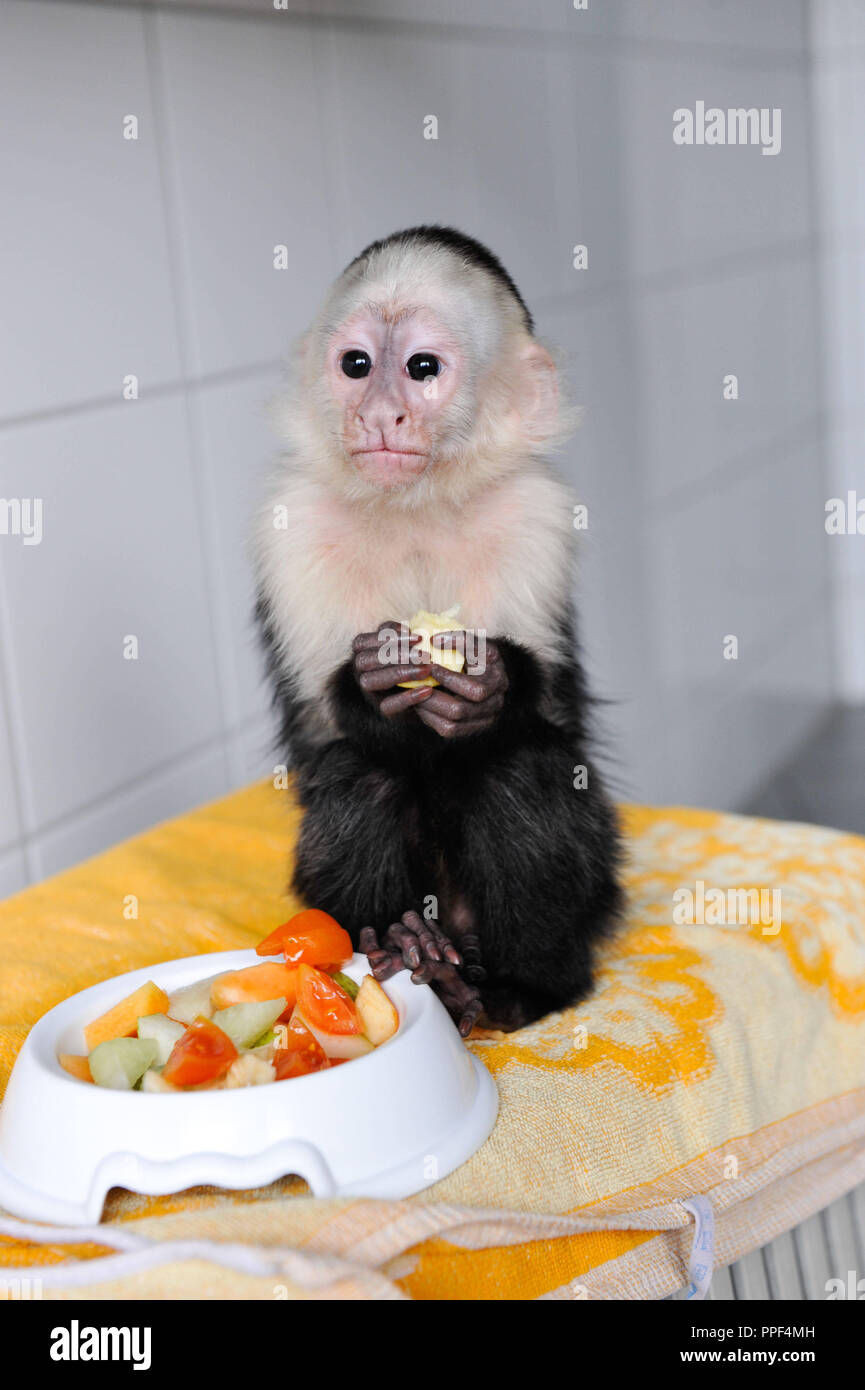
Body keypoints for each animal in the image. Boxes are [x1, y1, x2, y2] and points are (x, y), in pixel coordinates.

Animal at [254, 225, 623, 1035]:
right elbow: (323, 730)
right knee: (358, 775)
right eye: (357, 366)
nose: (380, 414)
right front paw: (370, 687)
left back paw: (520, 988)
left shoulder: (534, 513)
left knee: (522, 768)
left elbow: (553, 717)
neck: (415, 506)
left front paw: (491, 689)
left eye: (422, 368)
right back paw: (401, 946)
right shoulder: (292, 525)